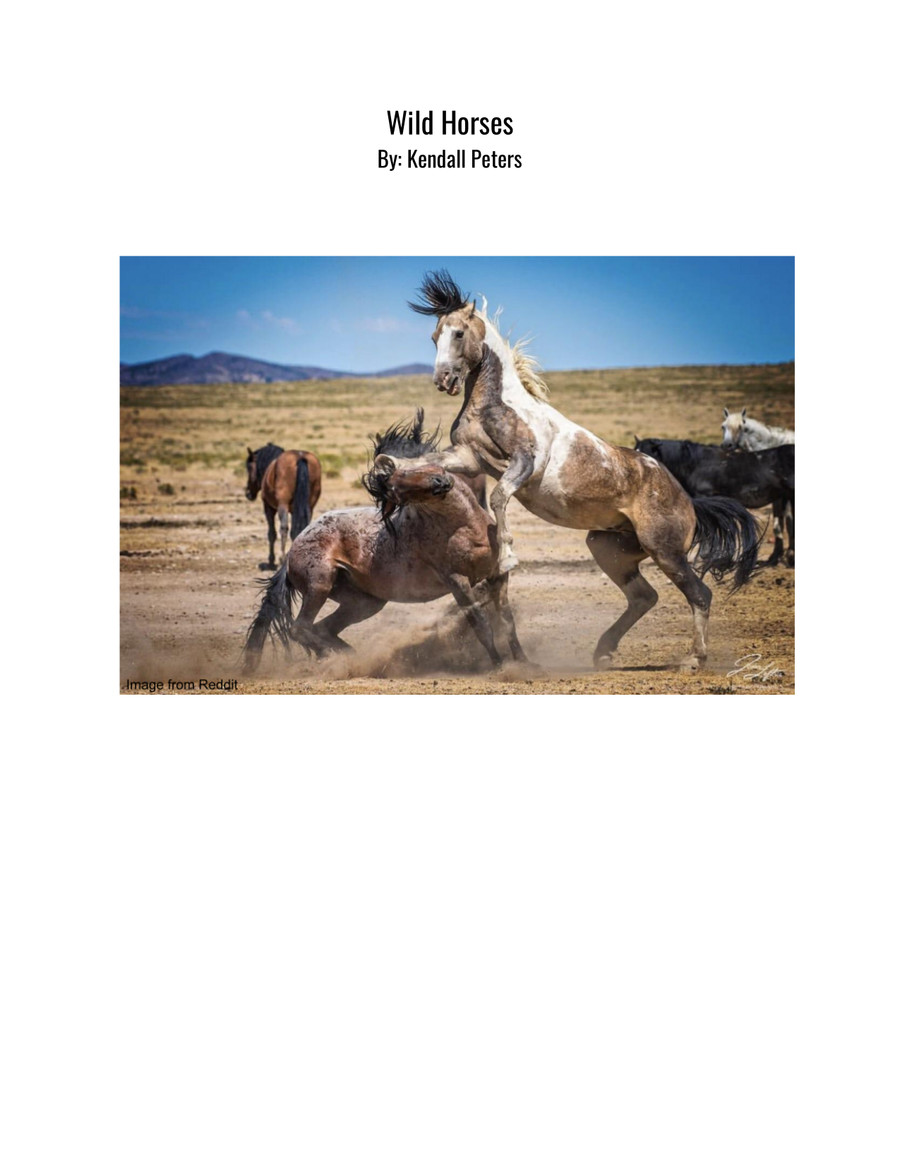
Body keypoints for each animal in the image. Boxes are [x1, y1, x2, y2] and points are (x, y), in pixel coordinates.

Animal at [242, 411, 526, 672]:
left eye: (406, 468)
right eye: (396, 492)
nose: (440, 483)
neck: (464, 527)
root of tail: (292, 552)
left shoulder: (498, 576)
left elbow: (507, 621)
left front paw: (524, 661)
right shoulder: (457, 582)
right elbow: (481, 623)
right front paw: (499, 666)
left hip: (364, 602)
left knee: (322, 629)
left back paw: (352, 657)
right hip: (319, 585)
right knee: (300, 628)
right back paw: (344, 660)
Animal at [377, 271, 761, 673]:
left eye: (458, 334)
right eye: (434, 336)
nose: (444, 380)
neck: (498, 404)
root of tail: (688, 501)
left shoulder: (523, 462)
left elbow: (498, 498)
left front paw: (507, 555)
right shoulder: (468, 457)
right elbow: (426, 462)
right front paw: (387, 468)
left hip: (665, 550)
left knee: (699, 594)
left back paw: (693, 659)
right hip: (609, 549)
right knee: (644, 597)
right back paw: (604, 651)